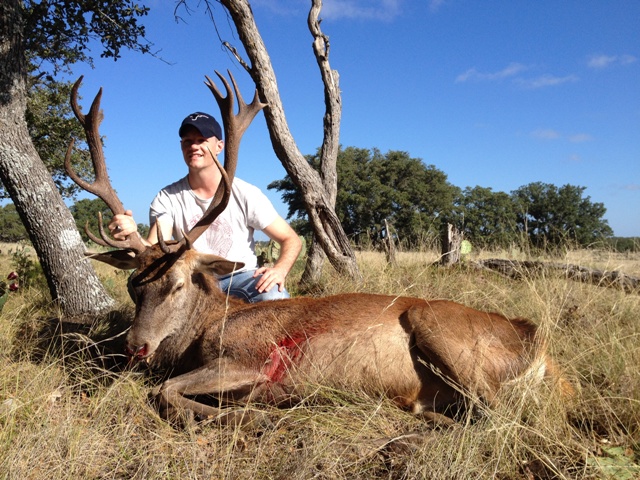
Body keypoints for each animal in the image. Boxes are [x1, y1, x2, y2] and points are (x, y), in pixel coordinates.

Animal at [66, 72, 573, 428]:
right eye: (133, 285)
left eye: (176, 284)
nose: (135, 346)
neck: (205, 330)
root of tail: (540, 347)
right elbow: (166, 390)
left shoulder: (252, 359)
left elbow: (165, 391)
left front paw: (249, 416)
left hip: (437, 326)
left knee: (498, 414)